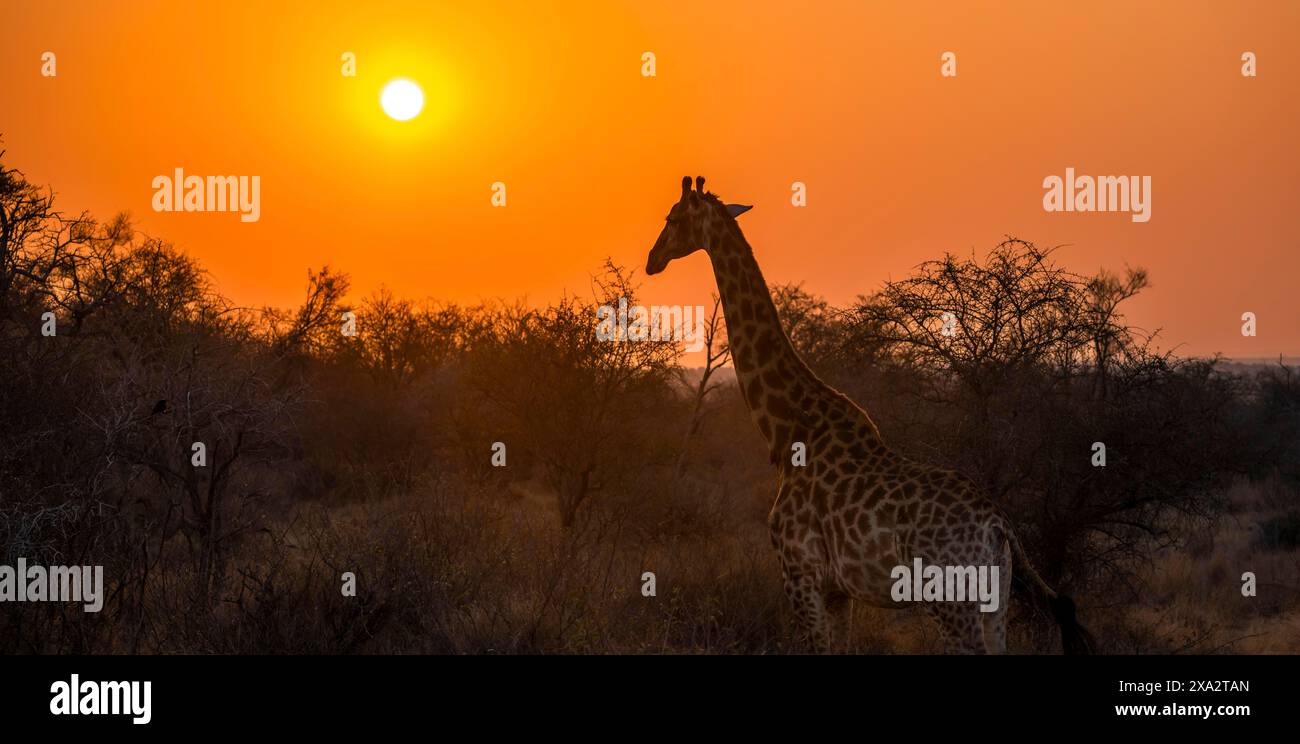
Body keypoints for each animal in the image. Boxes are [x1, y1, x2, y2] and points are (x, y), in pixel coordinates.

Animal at [645, 176, 1093, 654]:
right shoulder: (838, 590)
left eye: (672, 217)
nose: (652, 260)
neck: (787, 428)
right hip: (996, 600)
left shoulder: (800, 574)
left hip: (950, 600)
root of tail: (997, 524)